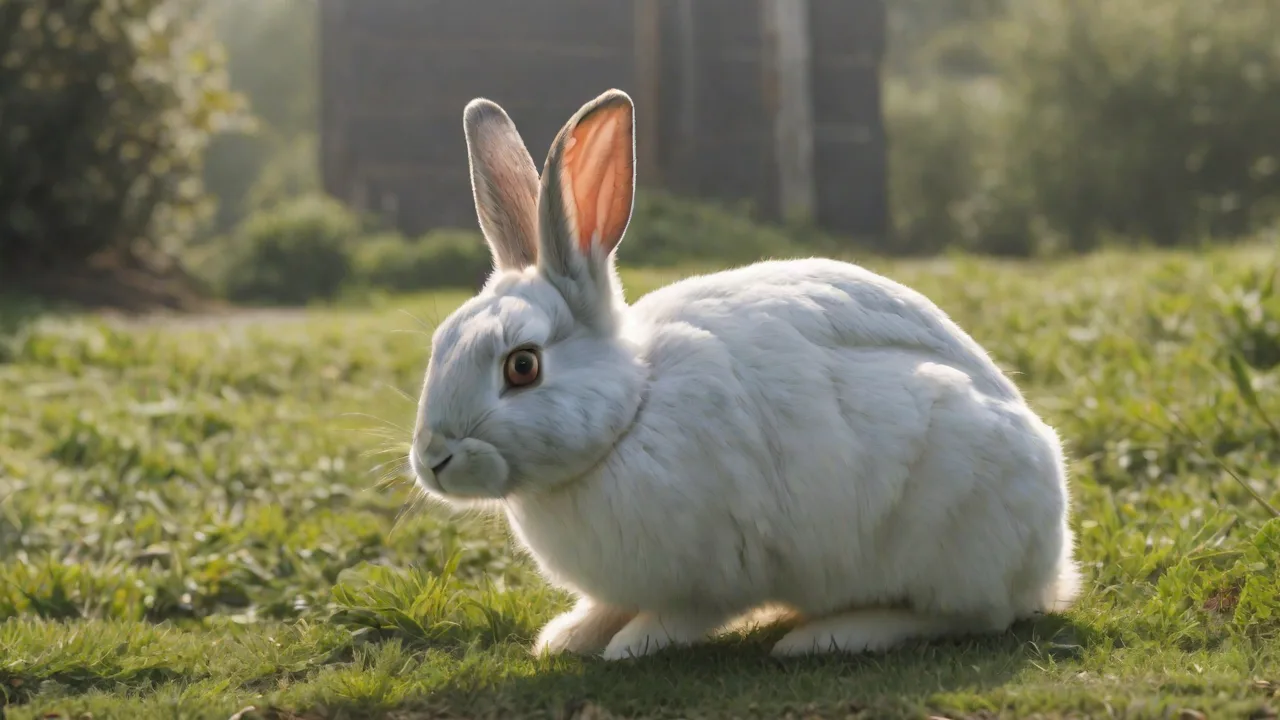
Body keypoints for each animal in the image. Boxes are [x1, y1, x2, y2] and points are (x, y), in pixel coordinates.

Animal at [408, 88, 1081, 661]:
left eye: (522, 366)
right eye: (440, 344)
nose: (433, 458)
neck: (632, 413)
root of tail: (1049, 564)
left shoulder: (718, 572)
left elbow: (683, 614)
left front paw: (632, 645)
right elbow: (607, 607)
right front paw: (568, 637)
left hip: (951, 529)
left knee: (965, 616)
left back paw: (829, 636)